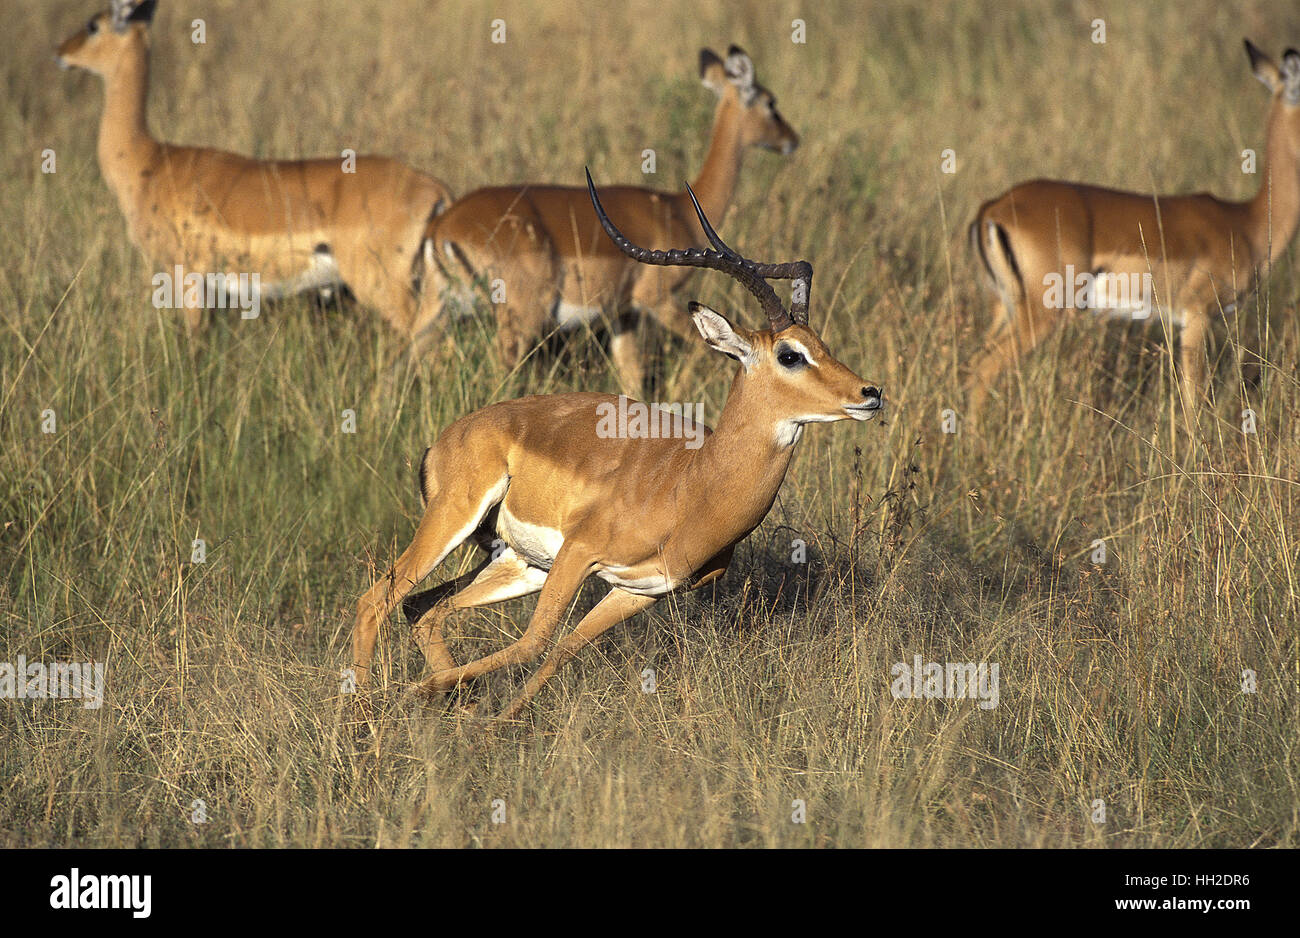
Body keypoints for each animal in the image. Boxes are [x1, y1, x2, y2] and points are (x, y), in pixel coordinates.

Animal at [57, 0, 454, 333]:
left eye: (93, 24)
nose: (61, 53)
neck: (149, 161)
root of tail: (435, 189)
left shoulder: (186, 275)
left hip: (382, 286)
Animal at [349, 170, 882, 721]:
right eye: (790, 354)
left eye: (822, 345)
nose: (870, 394)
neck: (694, 484)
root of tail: (446, 439)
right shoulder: (580, 553)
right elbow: (535, 642)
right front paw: (427, 697)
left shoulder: (639, 591)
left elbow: (560, 651)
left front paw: (497, 719)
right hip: (457, 522)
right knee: (377, 600)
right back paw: (369, 708)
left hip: (519, 563)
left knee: (424, 608)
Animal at [411, 45, 800, 393]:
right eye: (770, 103)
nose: (792, 139)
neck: (679, 209)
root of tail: (443, 225)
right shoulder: (656, 302)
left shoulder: (622, 315)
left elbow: (632, 380)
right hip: (520, 317)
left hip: (439, 311)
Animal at [967, 40, 1300, 415]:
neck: (1246, 223)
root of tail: (994, 206)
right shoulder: (1197, 316)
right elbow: (1193, 400)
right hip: (1041, 312)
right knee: (982, 369)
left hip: (1003, 306)